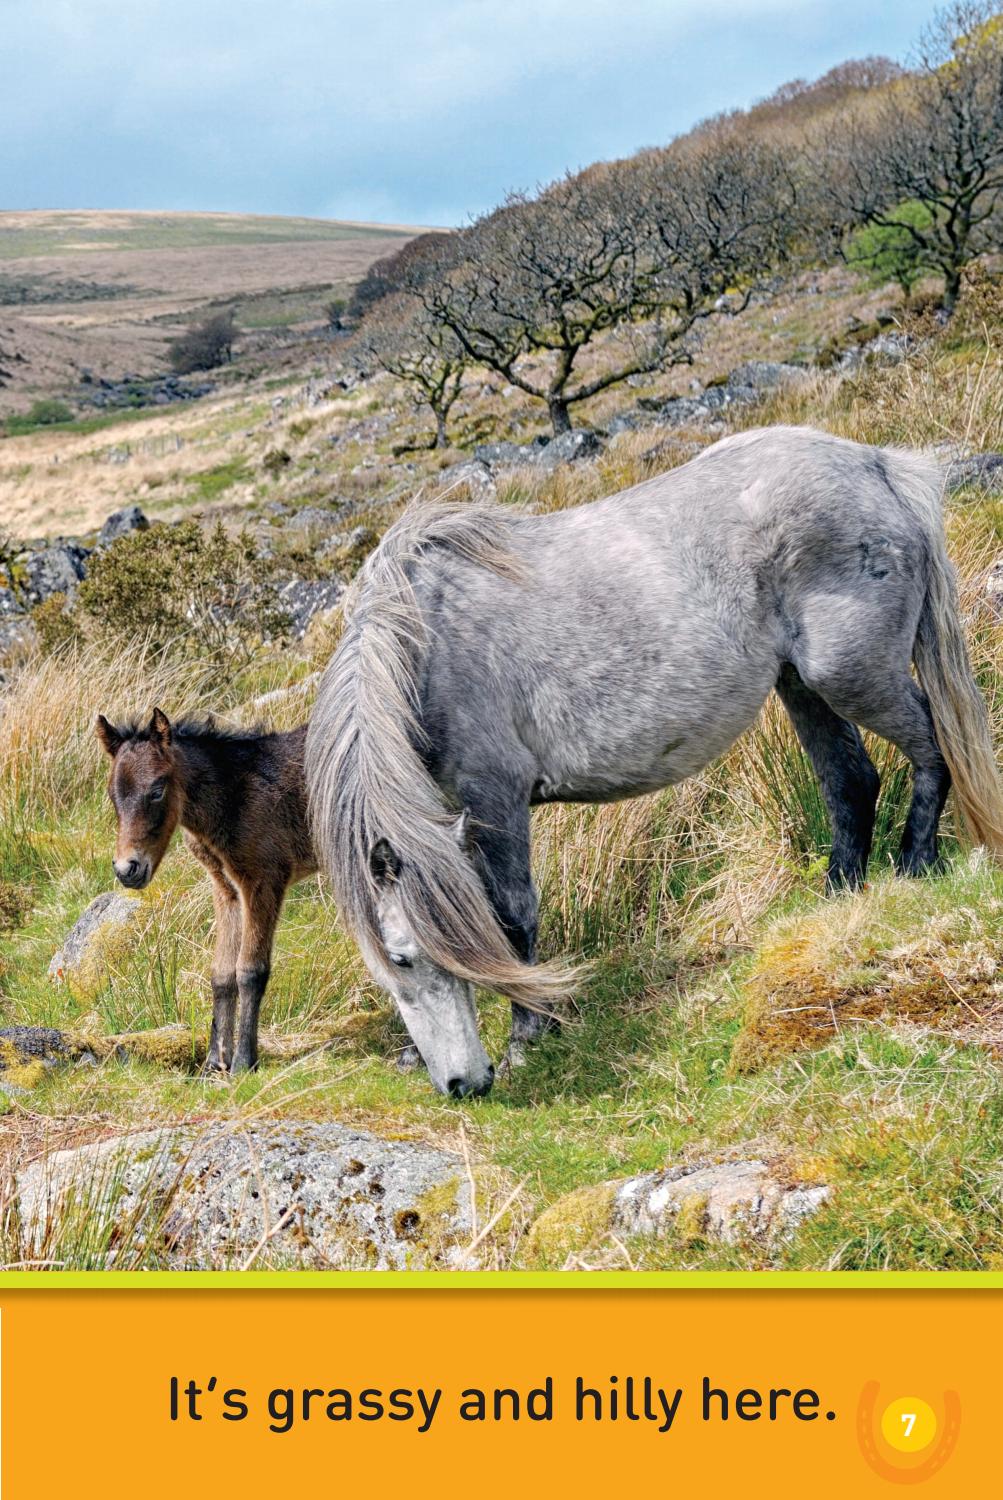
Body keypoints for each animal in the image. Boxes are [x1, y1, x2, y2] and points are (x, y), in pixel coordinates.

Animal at [96, 708, 316, 1073]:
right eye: (113, 795)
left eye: (157, 790)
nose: (127, 870)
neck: (233, 798)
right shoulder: (225, 887)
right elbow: (222, 974)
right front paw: (215, 1061)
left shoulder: (264, 879)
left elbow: (250, 971)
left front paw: (243, 1062)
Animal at [305, 425, 1003, 1100]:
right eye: (398, 960)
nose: (465, 1083)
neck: (429, 641)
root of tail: (875, 465)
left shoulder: (495, 796)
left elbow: (512, 914)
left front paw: (530, 1032)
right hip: (803, 685)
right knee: (850, 782)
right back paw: (836, 899)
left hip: (850, 676)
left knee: (933, 748)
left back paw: (916, 865)